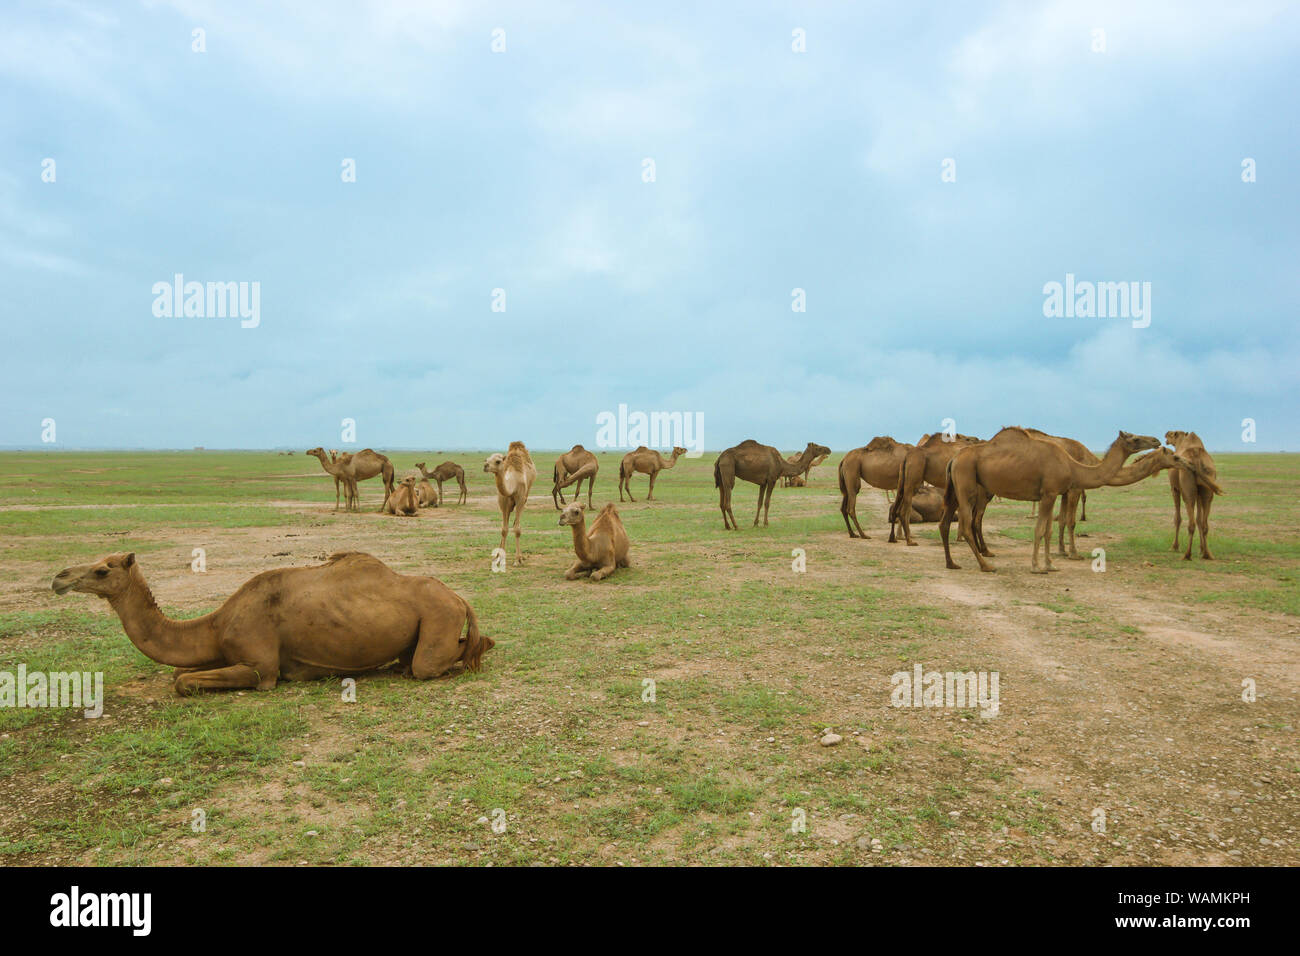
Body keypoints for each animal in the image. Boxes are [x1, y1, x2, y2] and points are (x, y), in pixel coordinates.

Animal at [51, 552, 490, 694]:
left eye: (102, 570)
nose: (59, 577)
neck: (216, 623)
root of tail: (457, 596)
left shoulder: (260, 666)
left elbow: (182, 681)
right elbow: (178, 671)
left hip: (438, 618)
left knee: (428, 664)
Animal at [940, 427, 1161, 573]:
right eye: (1135, 439)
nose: (1156, 441)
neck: (1073, 467)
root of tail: (954, 459)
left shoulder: (1053, 493)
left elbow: (1048, 530)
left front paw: (1051, 564)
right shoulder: (1048, 493)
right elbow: (1039, 530)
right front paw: (1037, 567)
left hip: (955, 488)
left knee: (945, 523)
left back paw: (952, 563)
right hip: (966, 484)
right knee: (967, 525)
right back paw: (986, 565)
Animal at [1165, 430, 1225, 560]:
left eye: (1171, 435)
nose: (1166, 435)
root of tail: (1196, 458)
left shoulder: (1174, 488)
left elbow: (1177, 518)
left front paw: (1174, 546)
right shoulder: (1199, 493)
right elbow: (1199, 519)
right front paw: (1201, 549)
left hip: (1187, 486)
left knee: (1190, 521)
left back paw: (1187, 555)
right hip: (1208, 483)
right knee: (1204, 523)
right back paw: (1207, 554)